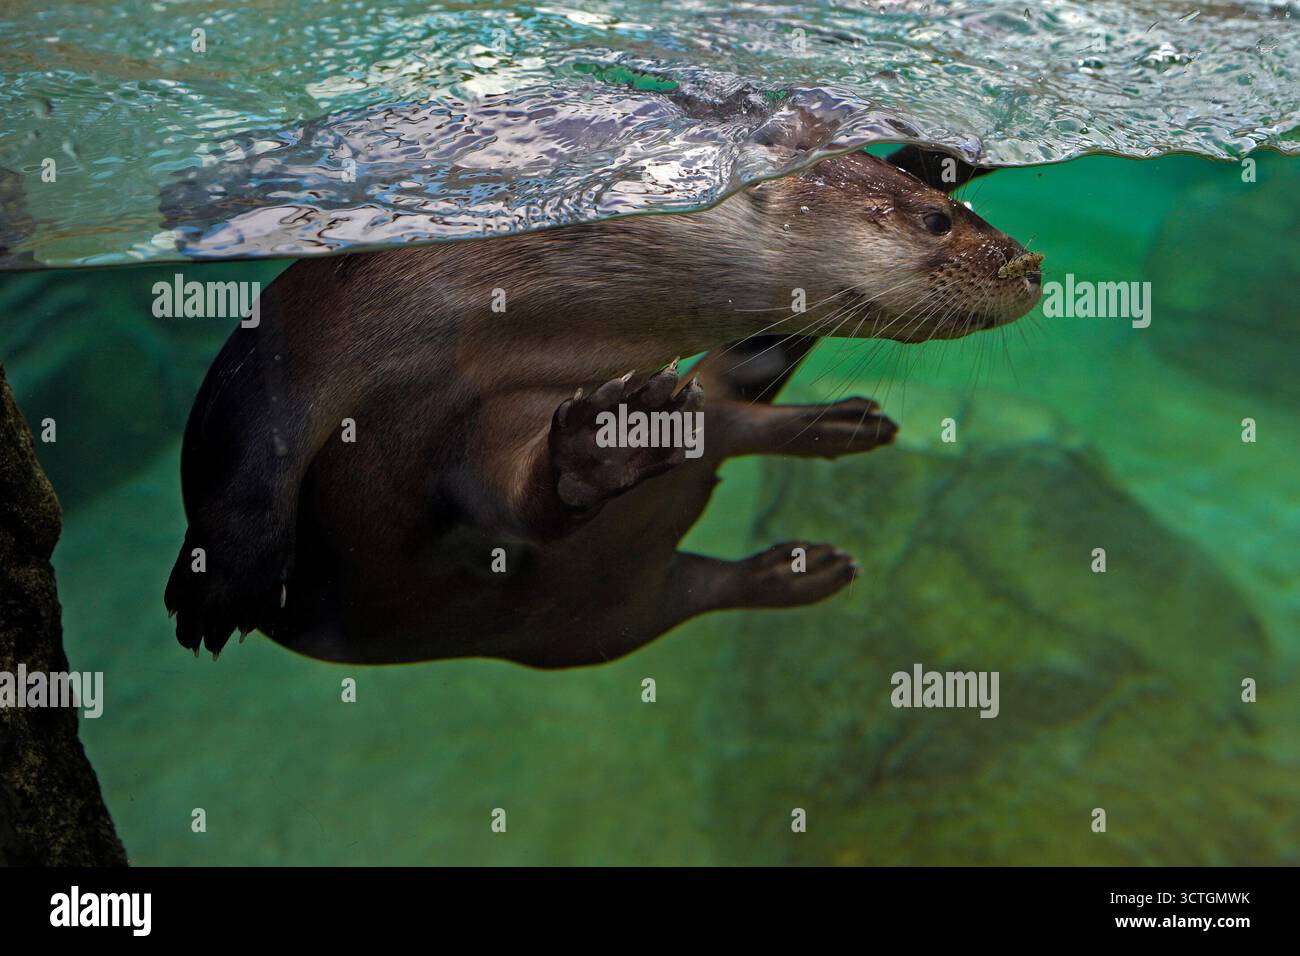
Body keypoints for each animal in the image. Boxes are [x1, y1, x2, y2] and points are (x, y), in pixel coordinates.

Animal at [164, 147, 1042, 667]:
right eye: (936, 221)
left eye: (967, 212)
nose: (1030, 264)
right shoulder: (300, 332)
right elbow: (250, 447)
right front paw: (219, 583)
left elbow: (517, 496)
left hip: (612, 623)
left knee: (716, 455)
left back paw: (802, 525)